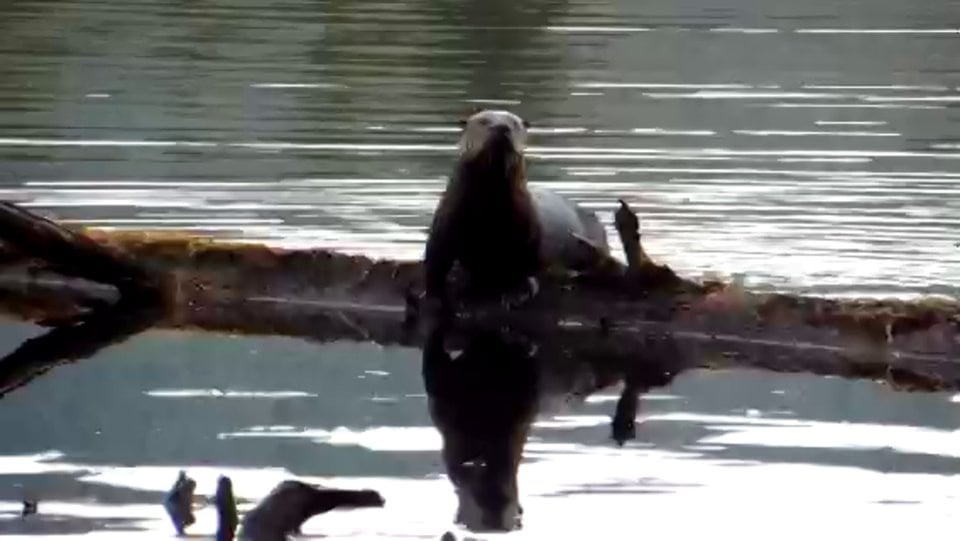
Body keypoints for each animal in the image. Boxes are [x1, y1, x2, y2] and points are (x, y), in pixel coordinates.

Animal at [423, 109, 609, 309]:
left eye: (513, 122)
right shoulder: (444, 223)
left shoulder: (527, 234)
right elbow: (435, 261)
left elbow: (522, 268)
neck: (487, 211)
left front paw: (516, 295)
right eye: (483, 121)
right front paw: (433, 296)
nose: (502, 127)